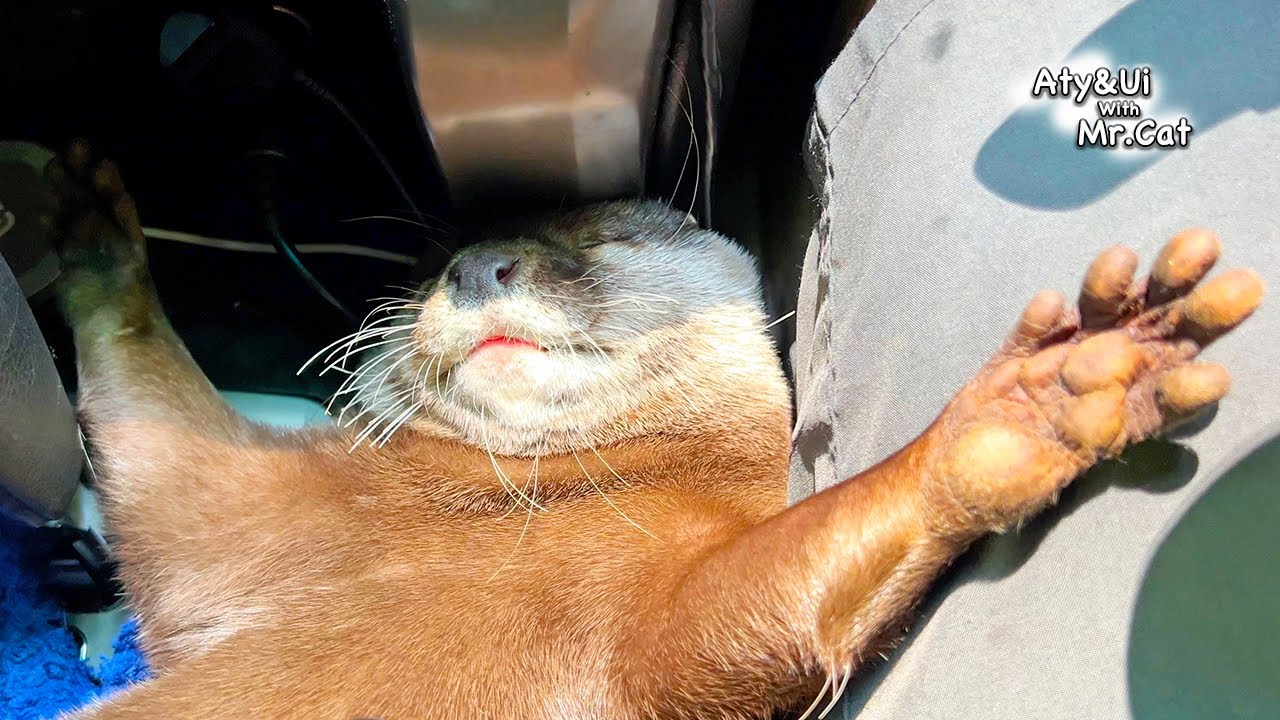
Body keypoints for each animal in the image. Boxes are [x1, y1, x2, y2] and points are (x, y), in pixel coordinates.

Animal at [48, 140, 1262, 719]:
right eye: (426, 264)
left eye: (599, 242)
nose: (480, 264)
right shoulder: (245, 519)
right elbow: (153, 440)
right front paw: (88, 225)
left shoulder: (648, 619)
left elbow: (762, 598)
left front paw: (1026, 406)